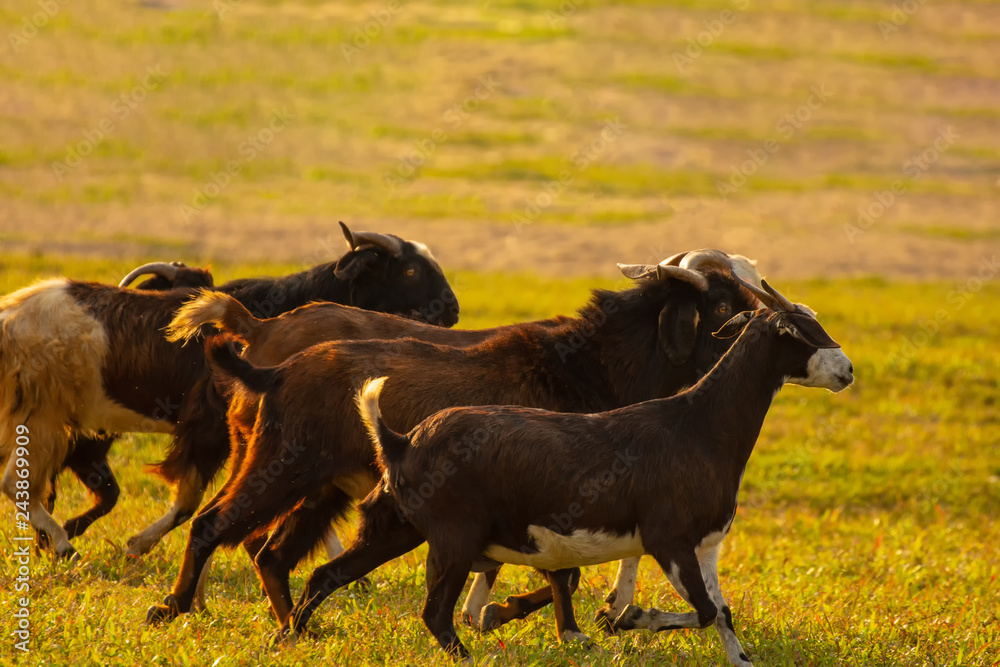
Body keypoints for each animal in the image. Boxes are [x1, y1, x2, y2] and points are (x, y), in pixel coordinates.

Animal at [0, 223, 457, 560]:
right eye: (411, 271)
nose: (452, 311)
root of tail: (9, 317)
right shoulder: (211, 429)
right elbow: (191, 501)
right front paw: (135, 546)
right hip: (43, 421)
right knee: (18, 484)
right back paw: (63, 545)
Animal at [145, 251, 765, 631]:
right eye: (722, 306)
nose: (768, 330)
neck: (585, 367)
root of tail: (267, 357)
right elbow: (561, 572)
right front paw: (506, 616)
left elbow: (551, 571)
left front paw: (506, 615)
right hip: (281, 464)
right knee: (213, 525)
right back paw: (173, 608)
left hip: (322, 485)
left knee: (271, 552)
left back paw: (294, 627)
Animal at [353, 278, 854, 664]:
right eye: (802, 331)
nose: (848, 371)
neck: (697, 426)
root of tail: (401, 441)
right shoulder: (669, 539)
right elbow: (705, 612)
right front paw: (627, 617)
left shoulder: (707, 545)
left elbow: (723, 613)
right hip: (453, 536)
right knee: (433, 612)